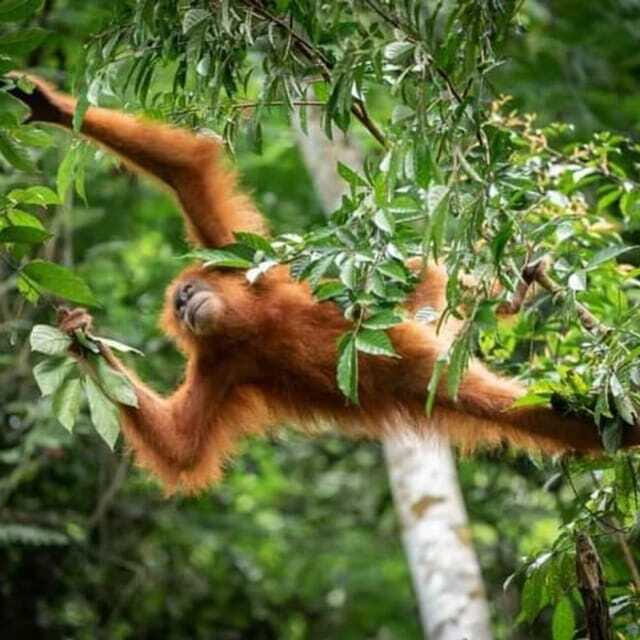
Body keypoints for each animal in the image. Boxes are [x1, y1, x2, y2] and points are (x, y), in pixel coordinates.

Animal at [9, 73, 640, 493]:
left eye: (187, 295)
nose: (188, 308)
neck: (251, 324)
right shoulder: (222, 367)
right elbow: (181, 446)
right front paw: (77, 335)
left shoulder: (242, 262)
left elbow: (185, 169)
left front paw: (51, 105)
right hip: (431, 377)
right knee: (516, 410)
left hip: (407, 326)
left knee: (423, 277)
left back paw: (510, 294)